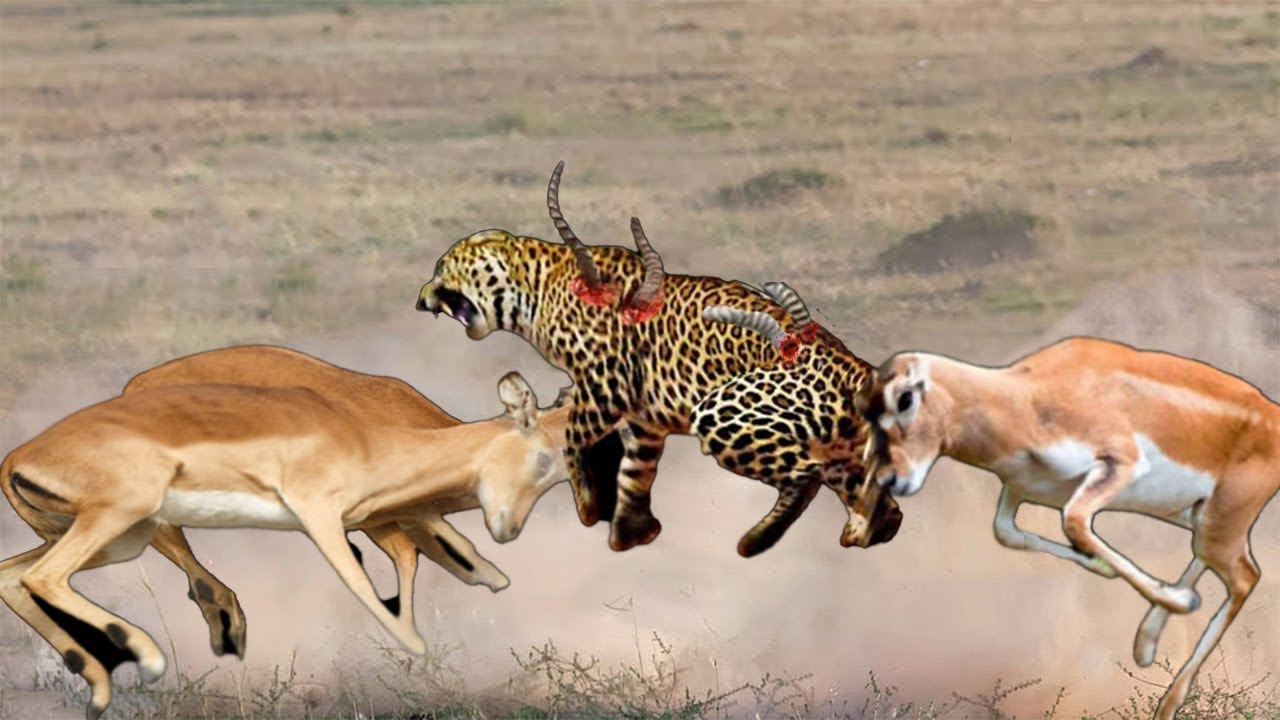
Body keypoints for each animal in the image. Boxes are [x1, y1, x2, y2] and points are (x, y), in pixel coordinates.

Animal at [0, 360, 570, 720]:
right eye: (547, 456)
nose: (507, 527)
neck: (368, 436)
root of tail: (18, 456)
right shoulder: (323, 521)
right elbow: (385, 608)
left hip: (121, 539)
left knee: (14, 577)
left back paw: (102, 686)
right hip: (122, 517)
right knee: (42, 577)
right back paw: (150, 656)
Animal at [416, 162, 901, 558]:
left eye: (442, 268)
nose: (421, 299)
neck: (540, 286)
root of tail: (853, 366)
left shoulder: (603, 388)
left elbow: (574, 439)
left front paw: (590, 508)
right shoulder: (642, 414)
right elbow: (636, 470)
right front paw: (632, 531)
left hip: (725, 414)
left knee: (805, 476)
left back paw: (755, 542)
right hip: (839, 442)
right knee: (874, 497)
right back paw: (866, 531)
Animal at [857, 336, 1279, 720]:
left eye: (905, 398)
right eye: (867, 413)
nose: (891, 480)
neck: (1025, 398)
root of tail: (1273, 416)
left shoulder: (1121, 463)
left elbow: (1074, 522)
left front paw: (1178, 600)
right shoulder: (1021, 488)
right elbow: (1007, 532)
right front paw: (1105, 569)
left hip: (1218, 524)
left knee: (1245, 576)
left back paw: (1167, 693)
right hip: (1196, 518)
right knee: (1214, 563)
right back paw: (1146, 641)